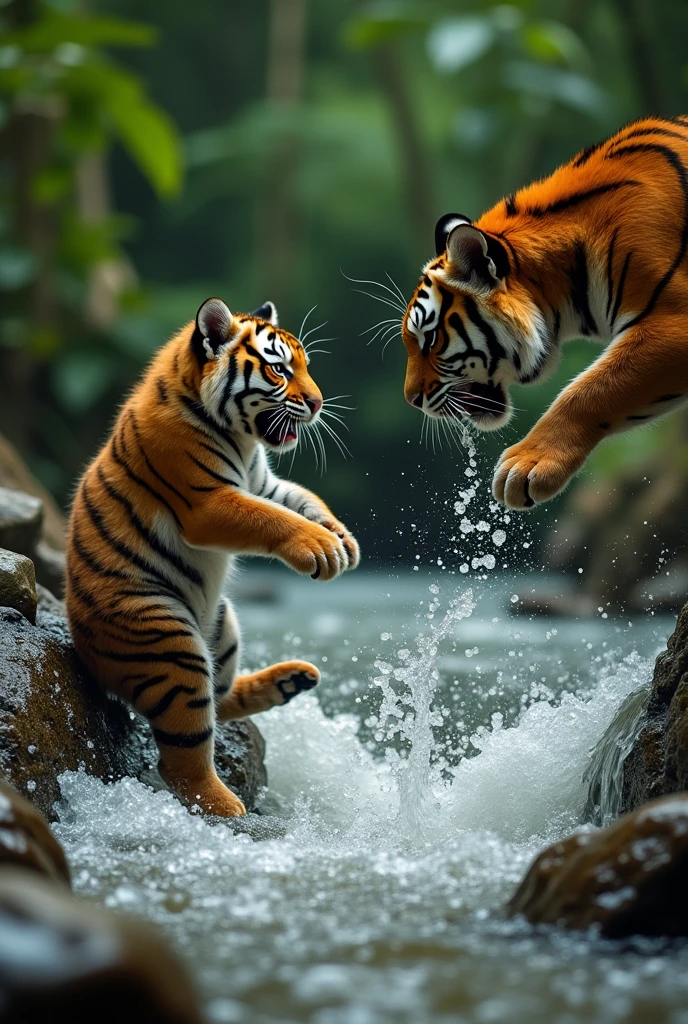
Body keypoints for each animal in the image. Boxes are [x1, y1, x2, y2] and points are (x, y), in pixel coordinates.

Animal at [65, 297, 359, 817]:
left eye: (306, 366)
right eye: (280, 369)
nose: (318, 404)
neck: (242, 440)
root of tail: (85, 652)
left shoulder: (264, 483)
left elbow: (302, 501)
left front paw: (341, 539)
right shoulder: (210, 502)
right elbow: (271, 518)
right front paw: (320, 547)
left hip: (222, 626)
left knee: (221, 699)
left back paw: (292, 680)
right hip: (169, 642)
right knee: (184, 750)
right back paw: (225, 805)